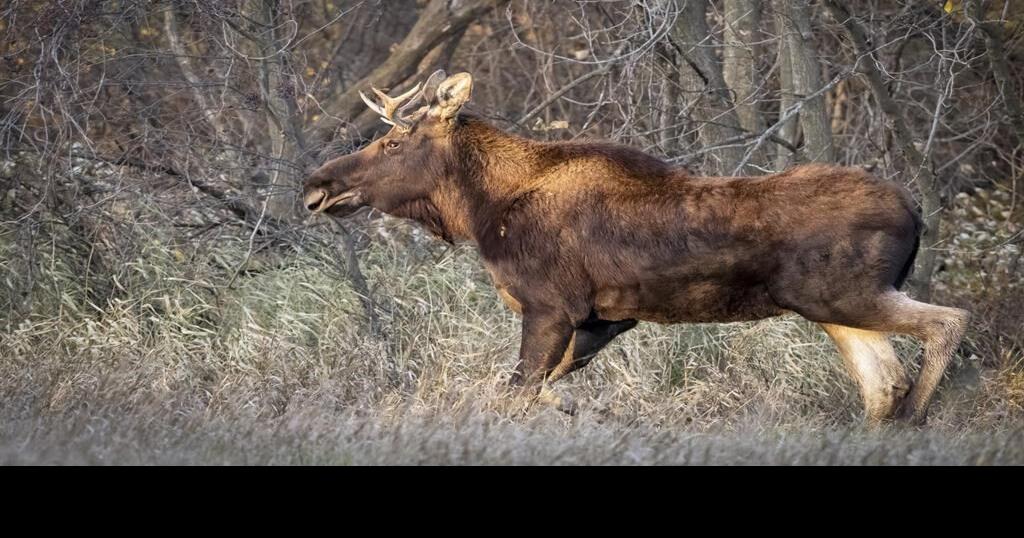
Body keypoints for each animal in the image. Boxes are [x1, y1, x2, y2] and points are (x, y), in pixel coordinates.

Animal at [303, 70, 970, 426]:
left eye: (392, 143)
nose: (317, 185)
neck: (482, 210)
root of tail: (915, 212)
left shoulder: (552, 307)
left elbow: (515, 392)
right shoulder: (604, 318)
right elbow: (533, 390)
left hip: (847, 293)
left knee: (947, 323)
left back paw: (917, 420)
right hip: (830, 308)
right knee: (882, 384)